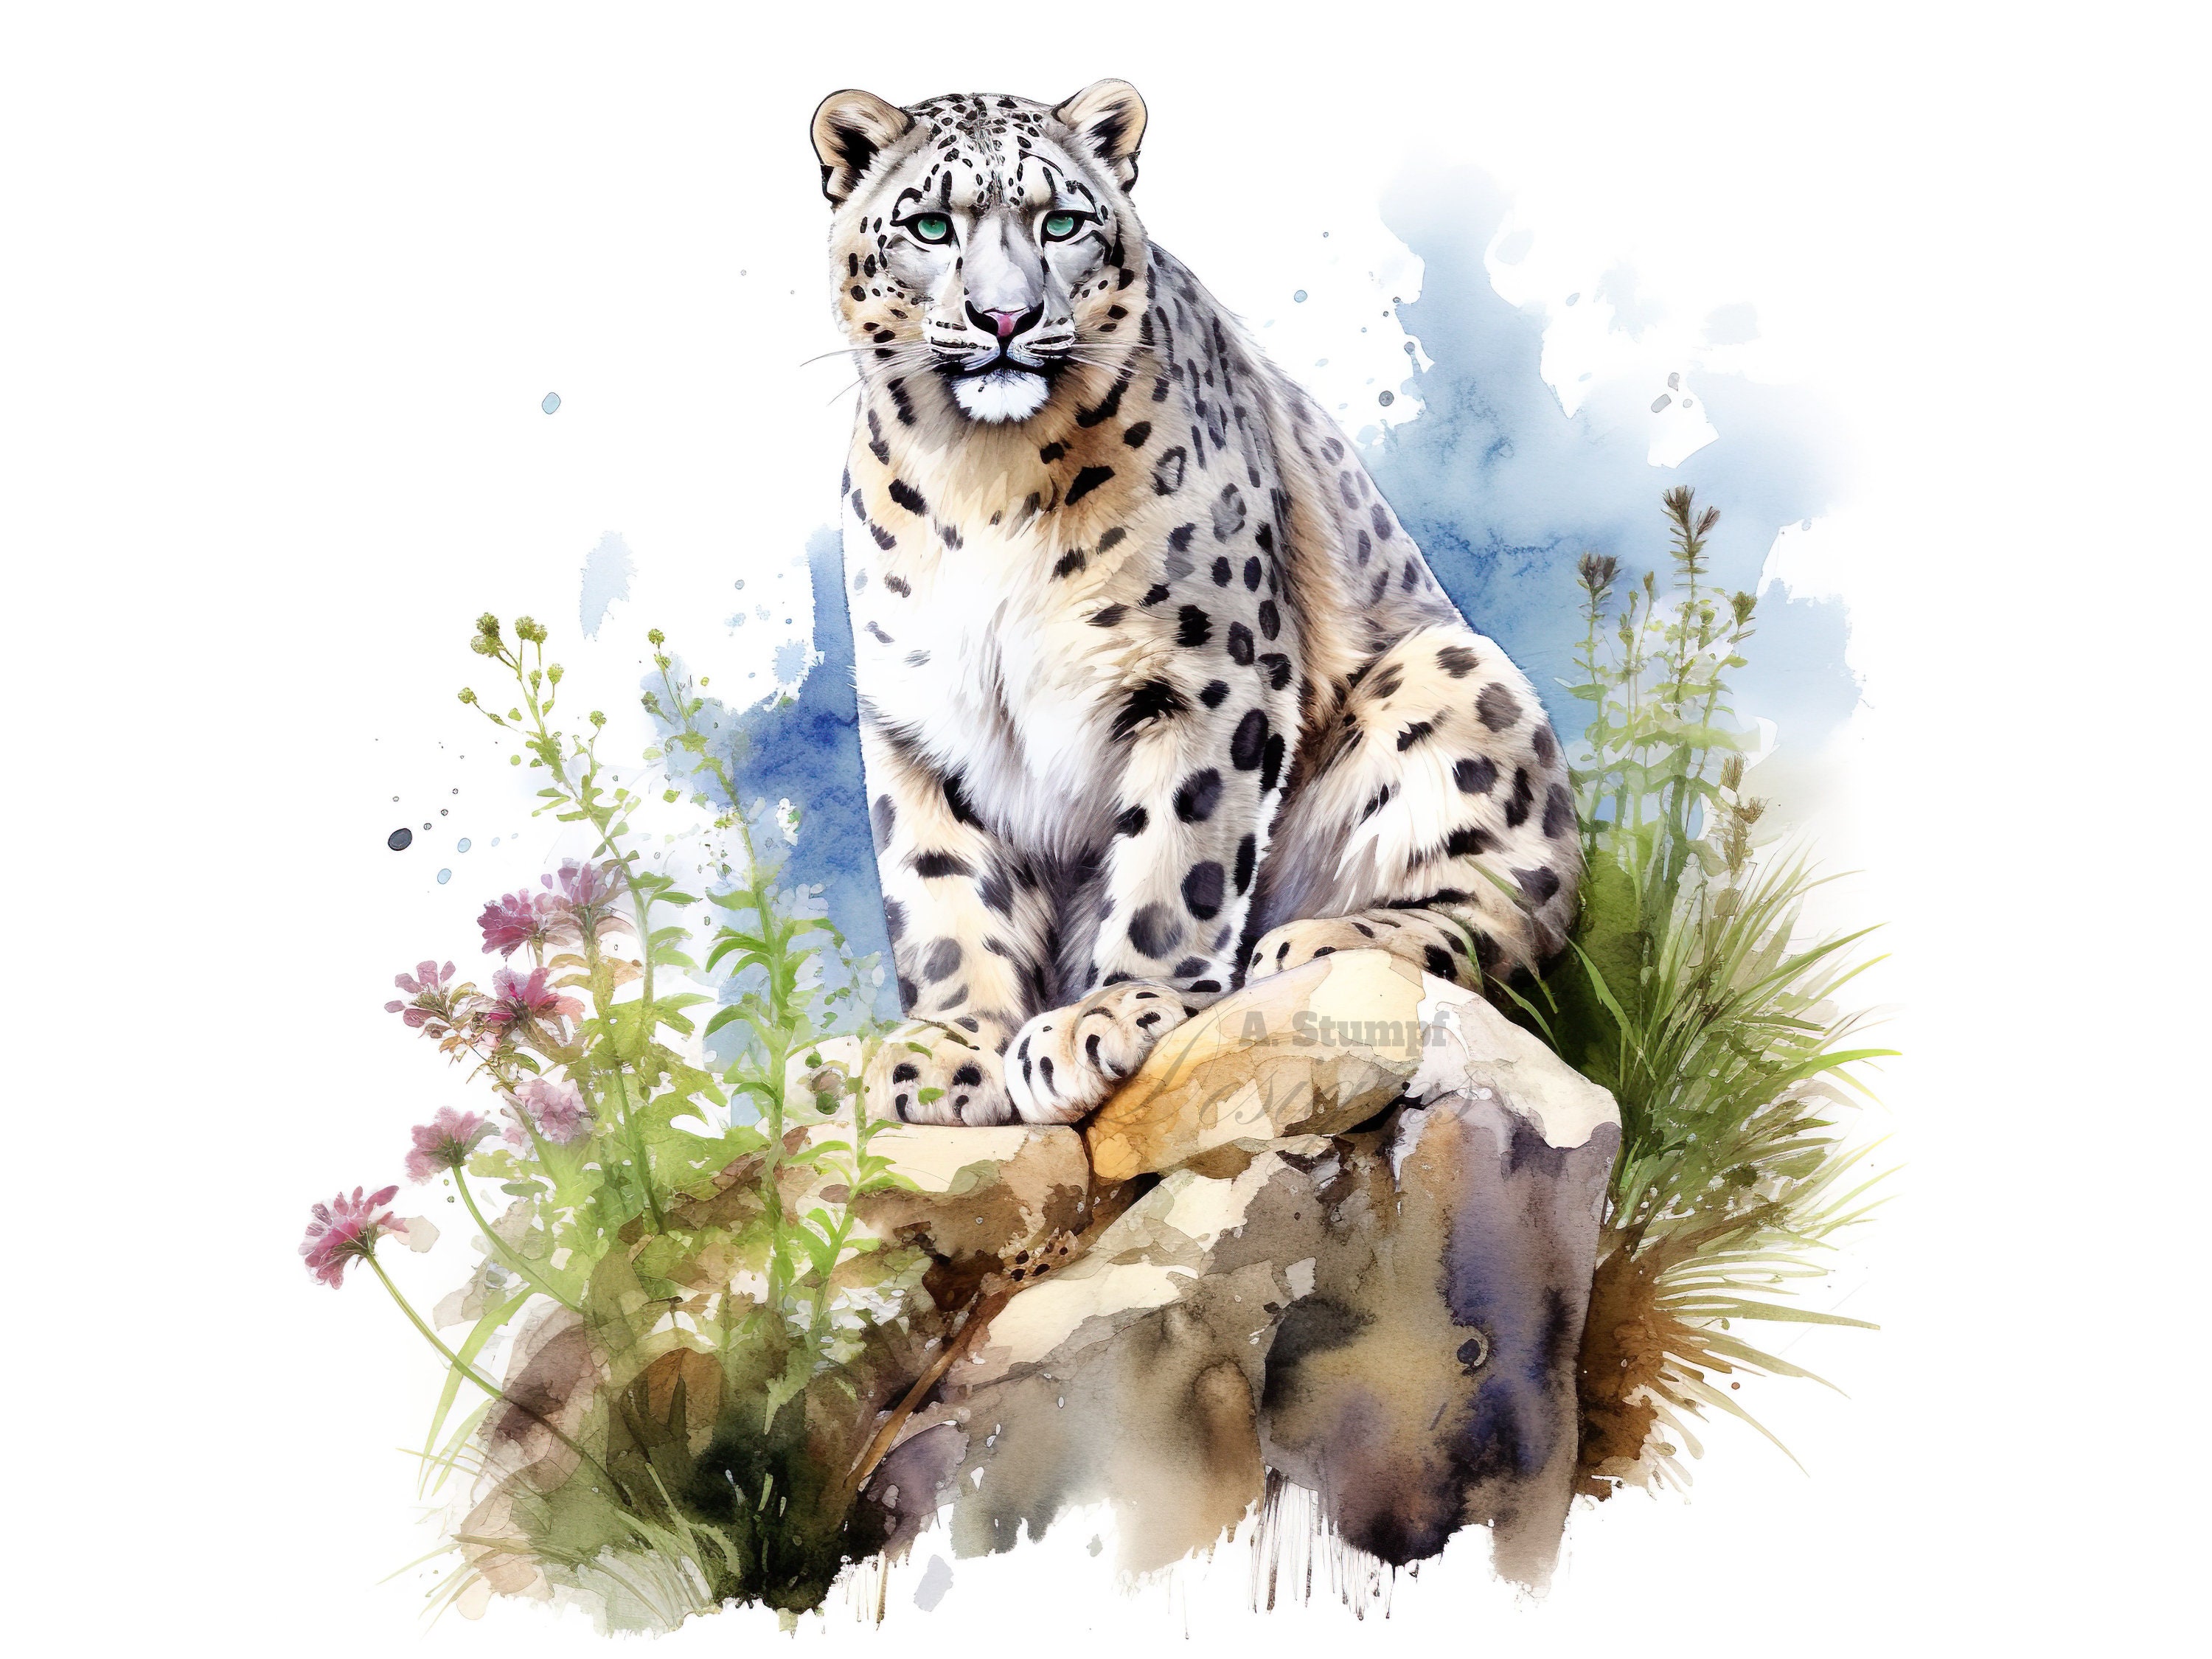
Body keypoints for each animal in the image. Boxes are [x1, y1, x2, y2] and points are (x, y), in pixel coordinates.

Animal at [809, 80, 1579, 1128]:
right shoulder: (922, 712)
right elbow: (942, 890)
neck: (981, 475)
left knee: (1519, 909)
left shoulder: (1208, 673)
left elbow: (1179, 857)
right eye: (931, 225)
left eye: (1061, 222)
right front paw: (947, 1050)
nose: (1006, 317)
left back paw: (1321, 939)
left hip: (1454, 676)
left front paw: (1110, 1013)